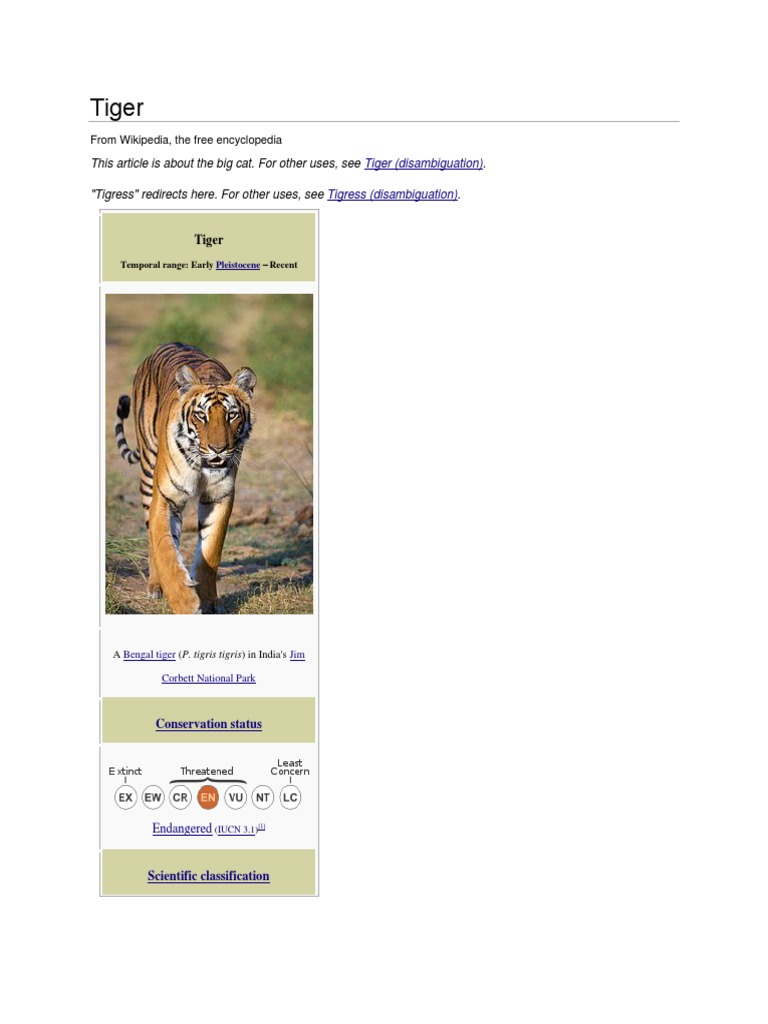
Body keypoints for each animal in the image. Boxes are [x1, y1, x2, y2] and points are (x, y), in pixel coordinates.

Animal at [115, 342, 257, 614]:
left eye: (232, 415)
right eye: (201, 416)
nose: (218, 449)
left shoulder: (219, 497)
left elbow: (210, 551)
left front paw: (209, 601)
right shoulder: (165, 497)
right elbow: (165, 549)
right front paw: (185, 602)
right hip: (148, 472)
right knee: (152, 537)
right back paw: (155, 585)